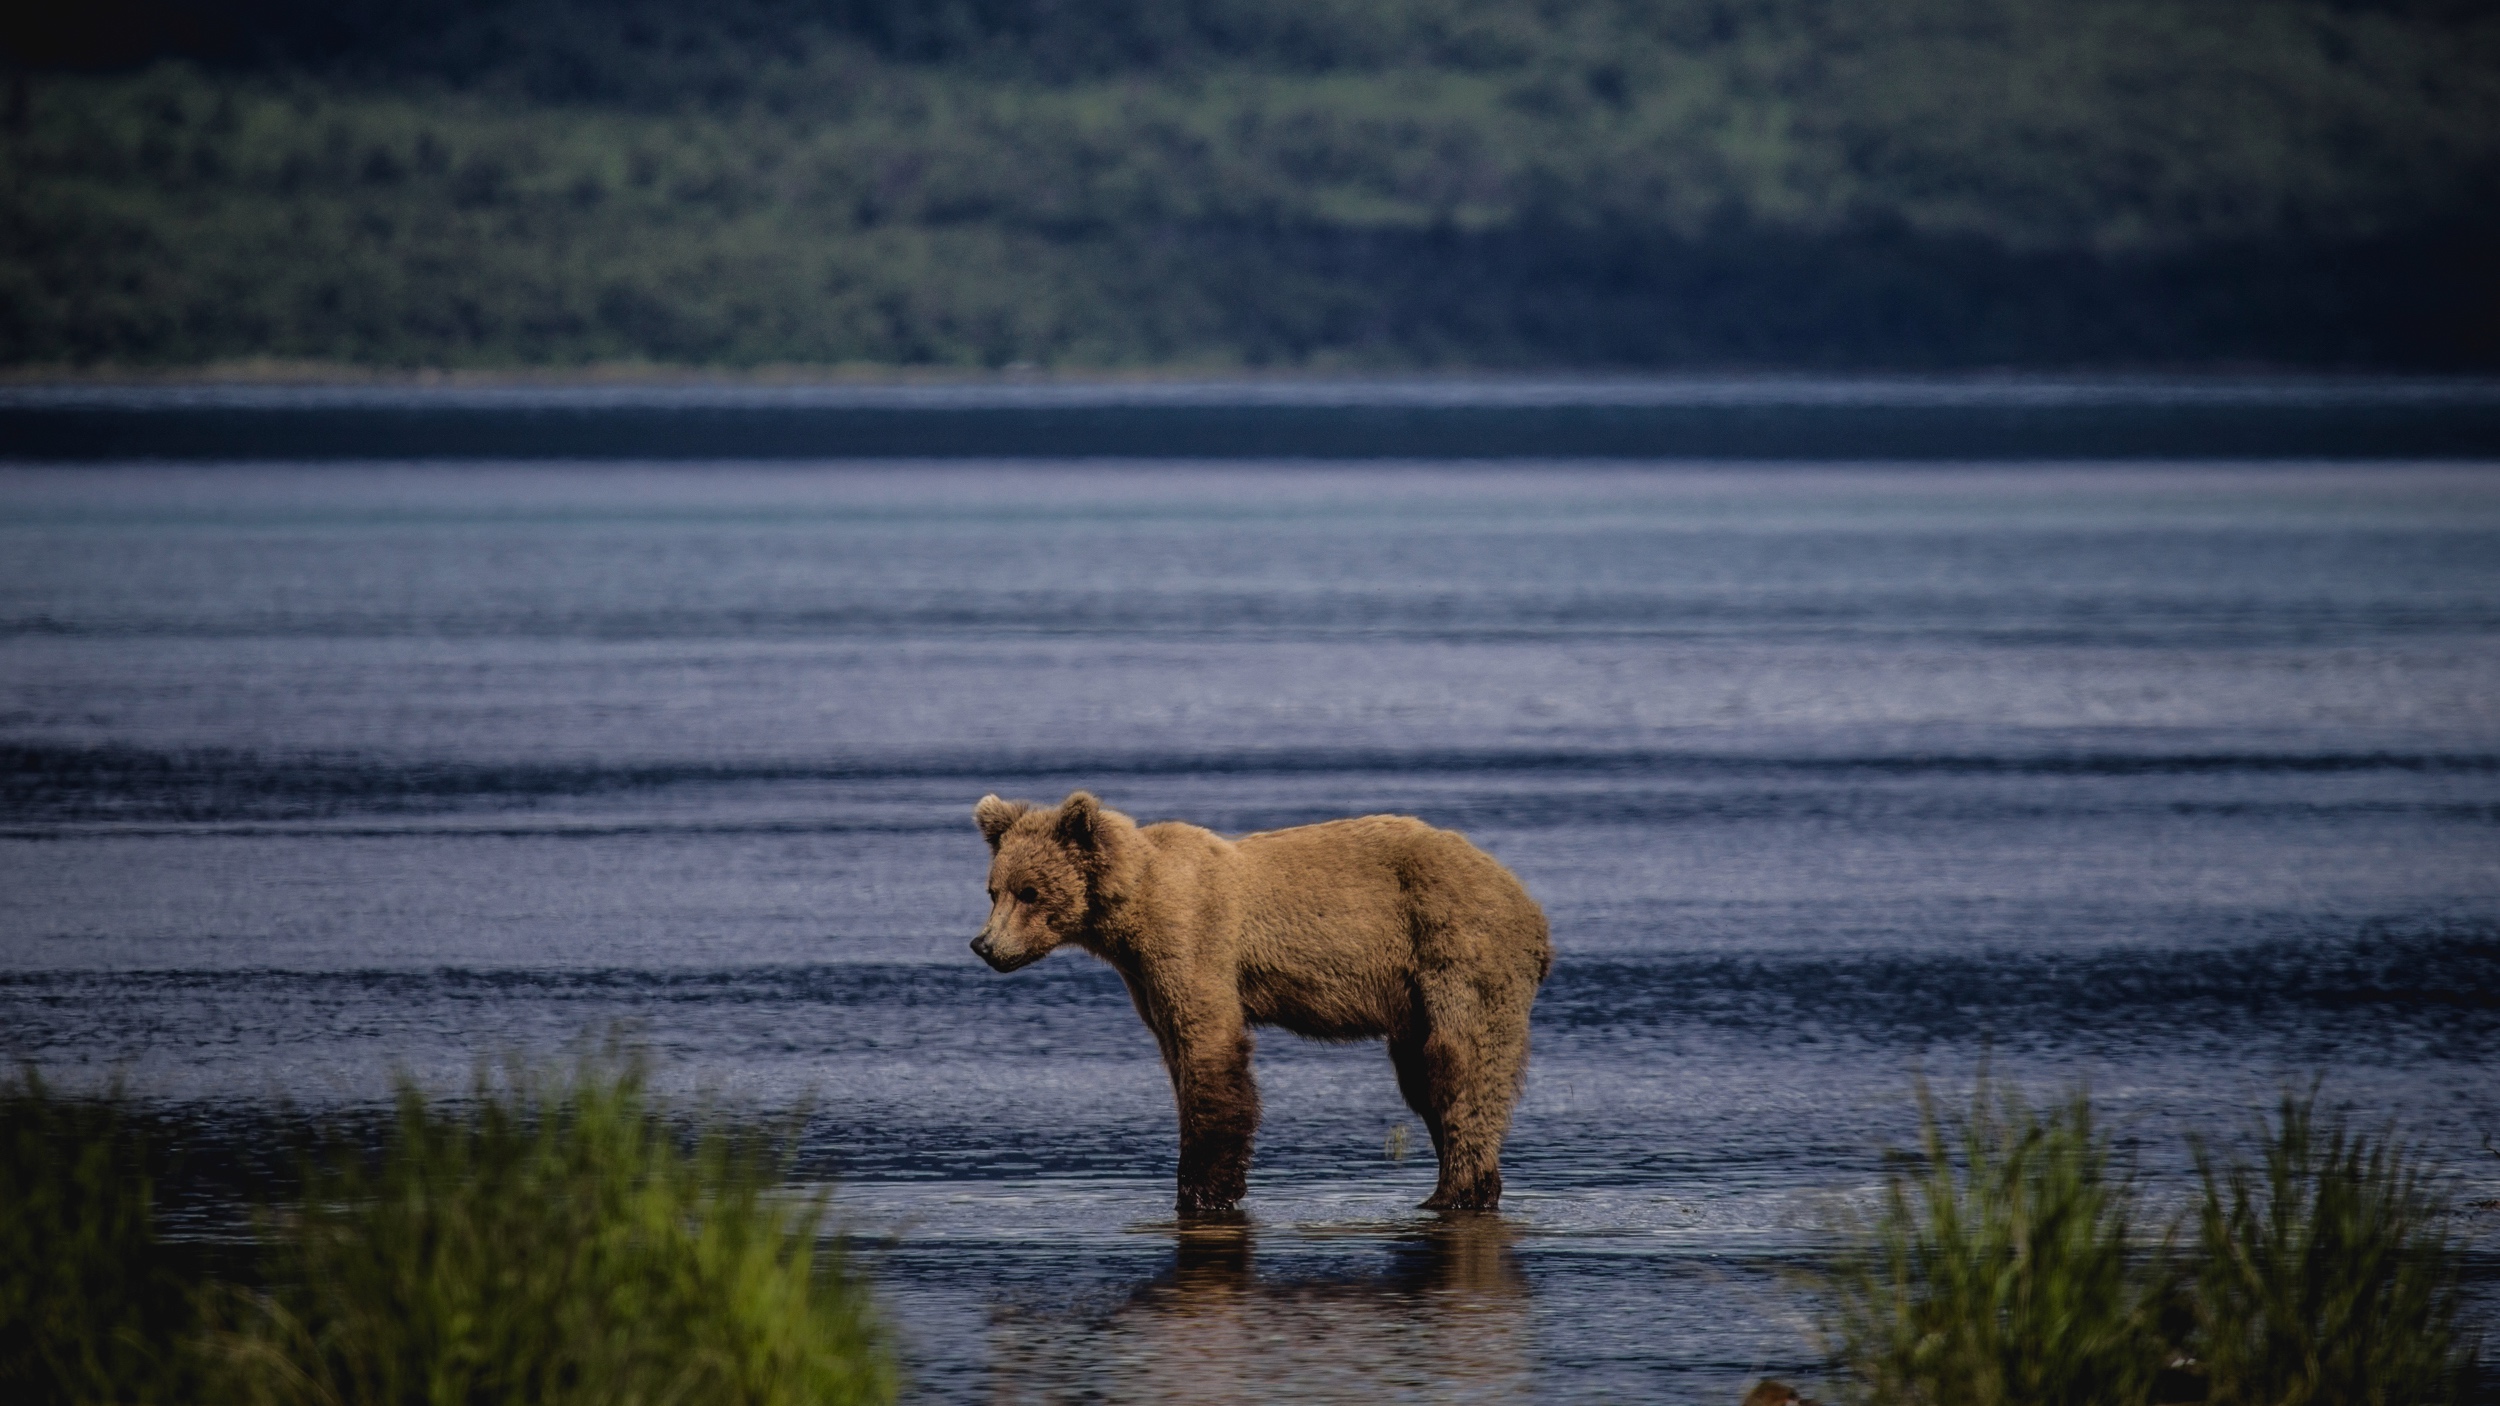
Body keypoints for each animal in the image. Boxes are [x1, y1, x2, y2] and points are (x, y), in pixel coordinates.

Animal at [971, 790, 1553, 1214]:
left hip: (1458, 951)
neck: (1130, 912)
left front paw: (1203, 1193)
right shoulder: (1145, 979)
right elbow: (1178, 1055)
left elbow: (1211, 1056)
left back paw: (1454, 1191)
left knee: (1461, 1067)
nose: (985, 945)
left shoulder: (1195, 941)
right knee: (1426, 1079)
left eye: (1030, 892)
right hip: (1418, 998)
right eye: (994, 890)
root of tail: (1530, 903)